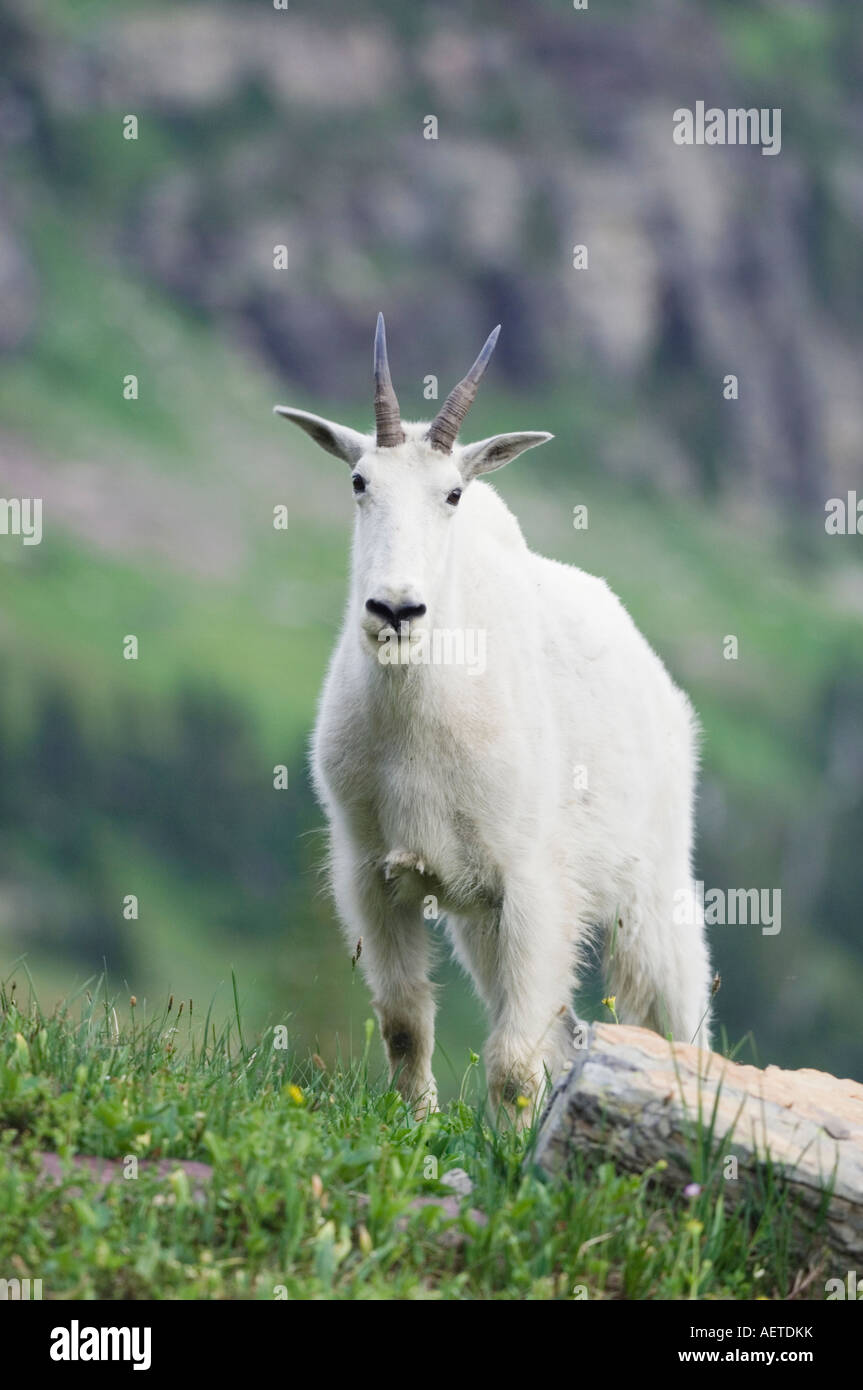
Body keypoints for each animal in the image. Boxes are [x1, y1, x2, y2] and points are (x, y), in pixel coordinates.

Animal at [275, 315, 712, 1118]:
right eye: (359, 482)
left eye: (453, 493)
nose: (395, 609)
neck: (419, 718)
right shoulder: (372, 875)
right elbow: (405, 1025)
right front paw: (414, 1128)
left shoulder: (534, 885)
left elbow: (511, 1060)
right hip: (480, 919)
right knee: (563, 1030)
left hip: (651, 879)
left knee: (678, 1006)